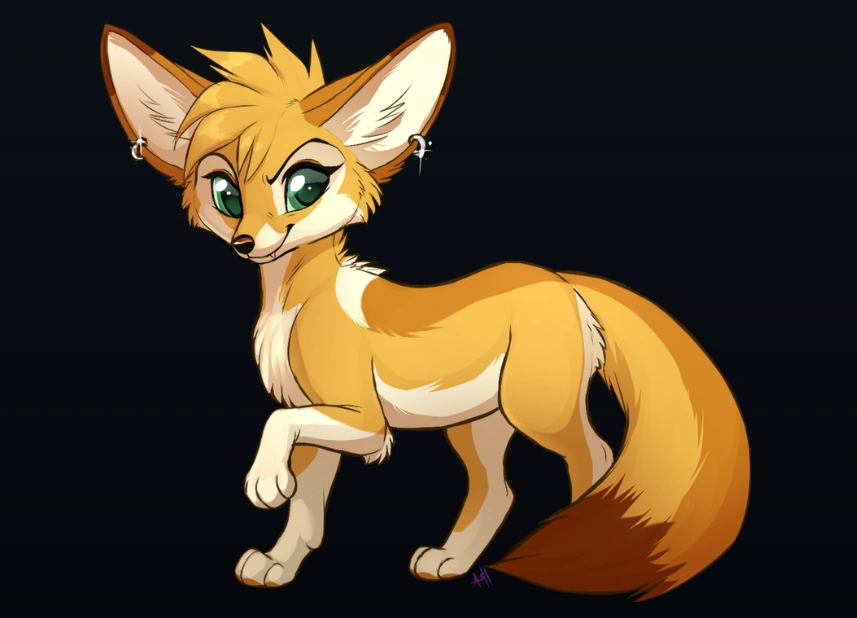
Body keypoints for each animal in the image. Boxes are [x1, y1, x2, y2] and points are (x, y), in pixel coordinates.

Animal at [100, 22, 750, 600]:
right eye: (225, 194)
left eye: (305, 185)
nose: (246, 243)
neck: (296, 302)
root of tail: (561, 280)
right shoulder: (320, 419)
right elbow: (306, 508)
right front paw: (280, 566)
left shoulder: (362, 422)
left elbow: (275, 427)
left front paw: (264, 482)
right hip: (477, 424)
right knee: (499, 491)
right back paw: (452, 562)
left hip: (538, 411)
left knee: (598, 460)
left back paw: (582, 556)